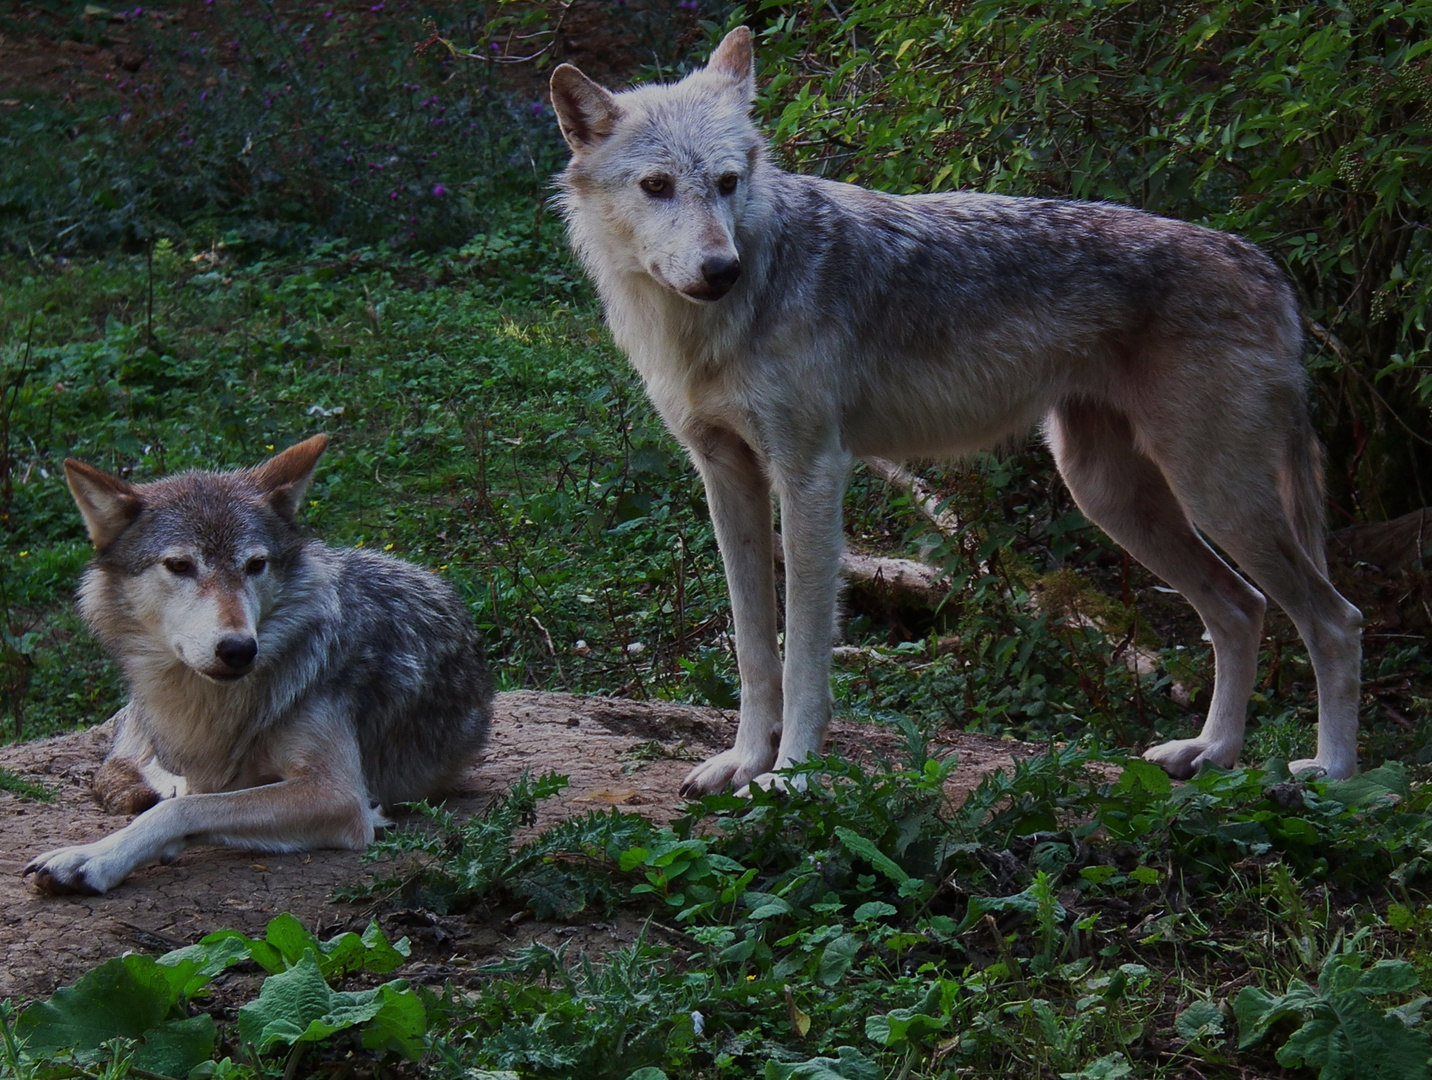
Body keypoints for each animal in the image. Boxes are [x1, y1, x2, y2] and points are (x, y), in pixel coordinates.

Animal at [23, 435, 493, 895]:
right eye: (179, 565)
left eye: (255, 565)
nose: (238, 649)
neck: (215, 705)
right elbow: (188, 797)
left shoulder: (338, 794)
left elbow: (186, 809)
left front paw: (95, 859)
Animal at [549, 27, 1363, 796]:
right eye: (656, 185)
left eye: (726, 183)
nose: (722, 269)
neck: (715, 323)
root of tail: (1265, 265)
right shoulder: (727, 477)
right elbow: (755, 650)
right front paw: (744, 762)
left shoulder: (811, 474)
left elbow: (805, 655)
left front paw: (792, 776)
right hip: (1116, 498)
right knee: (1240, 610)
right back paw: (1212, 753)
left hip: (1210, 496)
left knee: (1335, 619)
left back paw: (1332, 773)